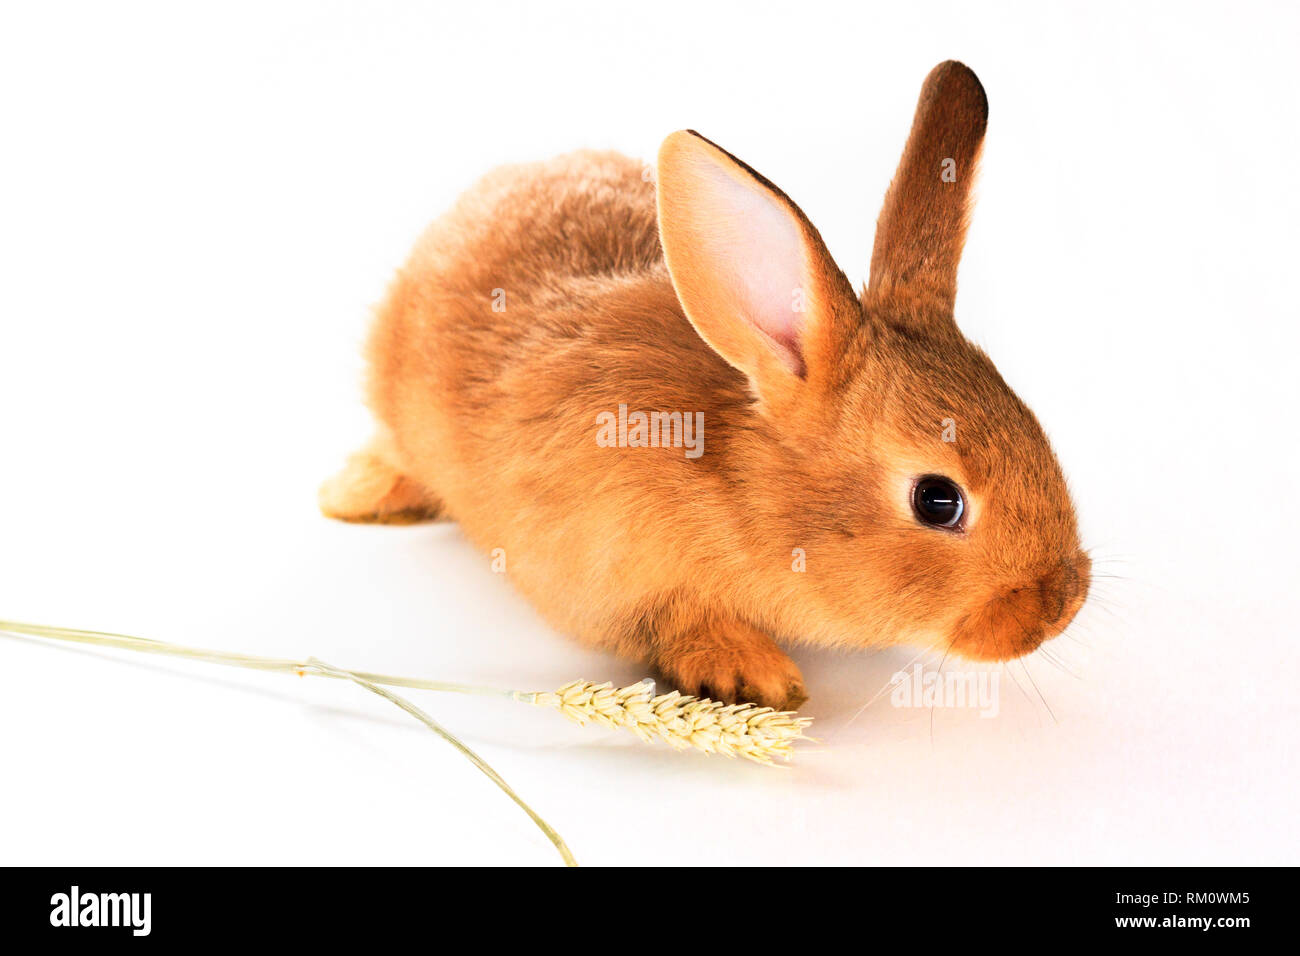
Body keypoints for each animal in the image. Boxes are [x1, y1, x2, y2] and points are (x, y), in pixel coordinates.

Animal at [320, 61, 1090, 711]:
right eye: (937, 500)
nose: (1063, 603)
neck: (741, 489)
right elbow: (675, 623)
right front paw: (757, 675)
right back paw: (359, 499)